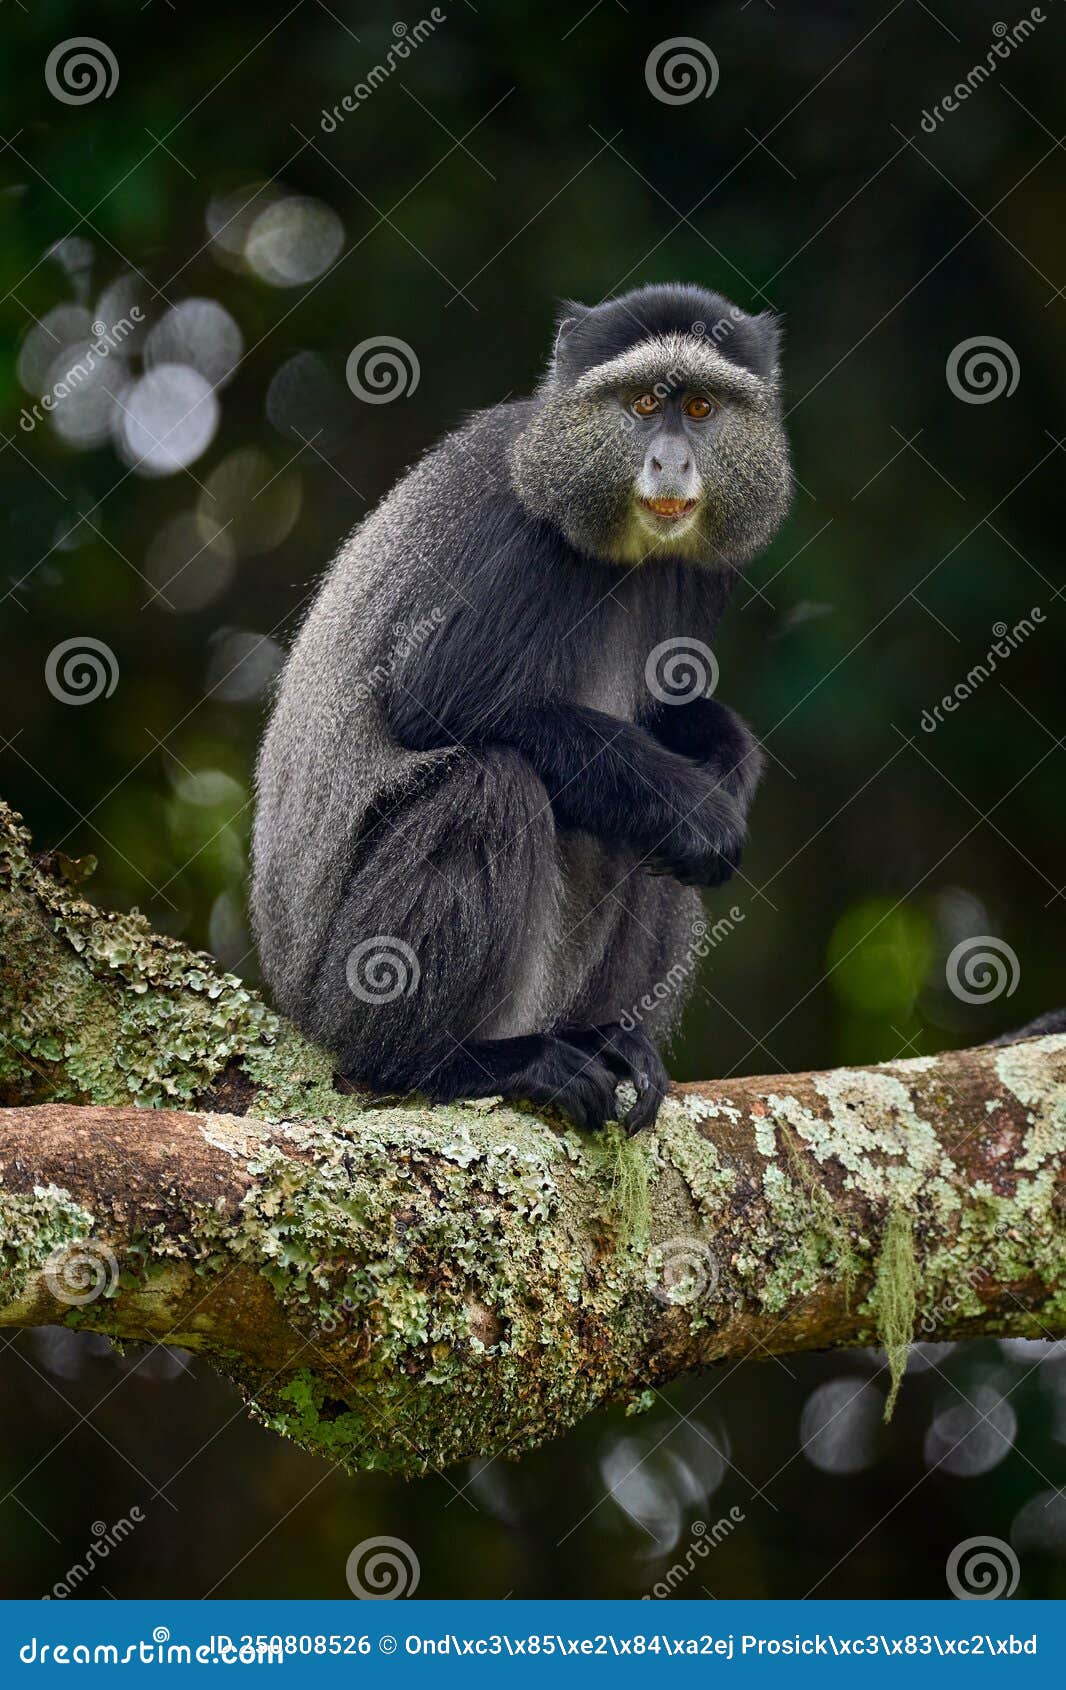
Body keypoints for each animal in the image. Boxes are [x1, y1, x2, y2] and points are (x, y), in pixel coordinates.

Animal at [251, 282, 793, 1133]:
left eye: (701, 408)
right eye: (644, 403)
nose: (670, 460)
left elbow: (669, 719)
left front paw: (727, 758)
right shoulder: (516, 532)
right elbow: (437, 697)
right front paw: (697, 806)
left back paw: (603, 1038)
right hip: (345, 994)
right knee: (490, 787)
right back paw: (455, 1063)